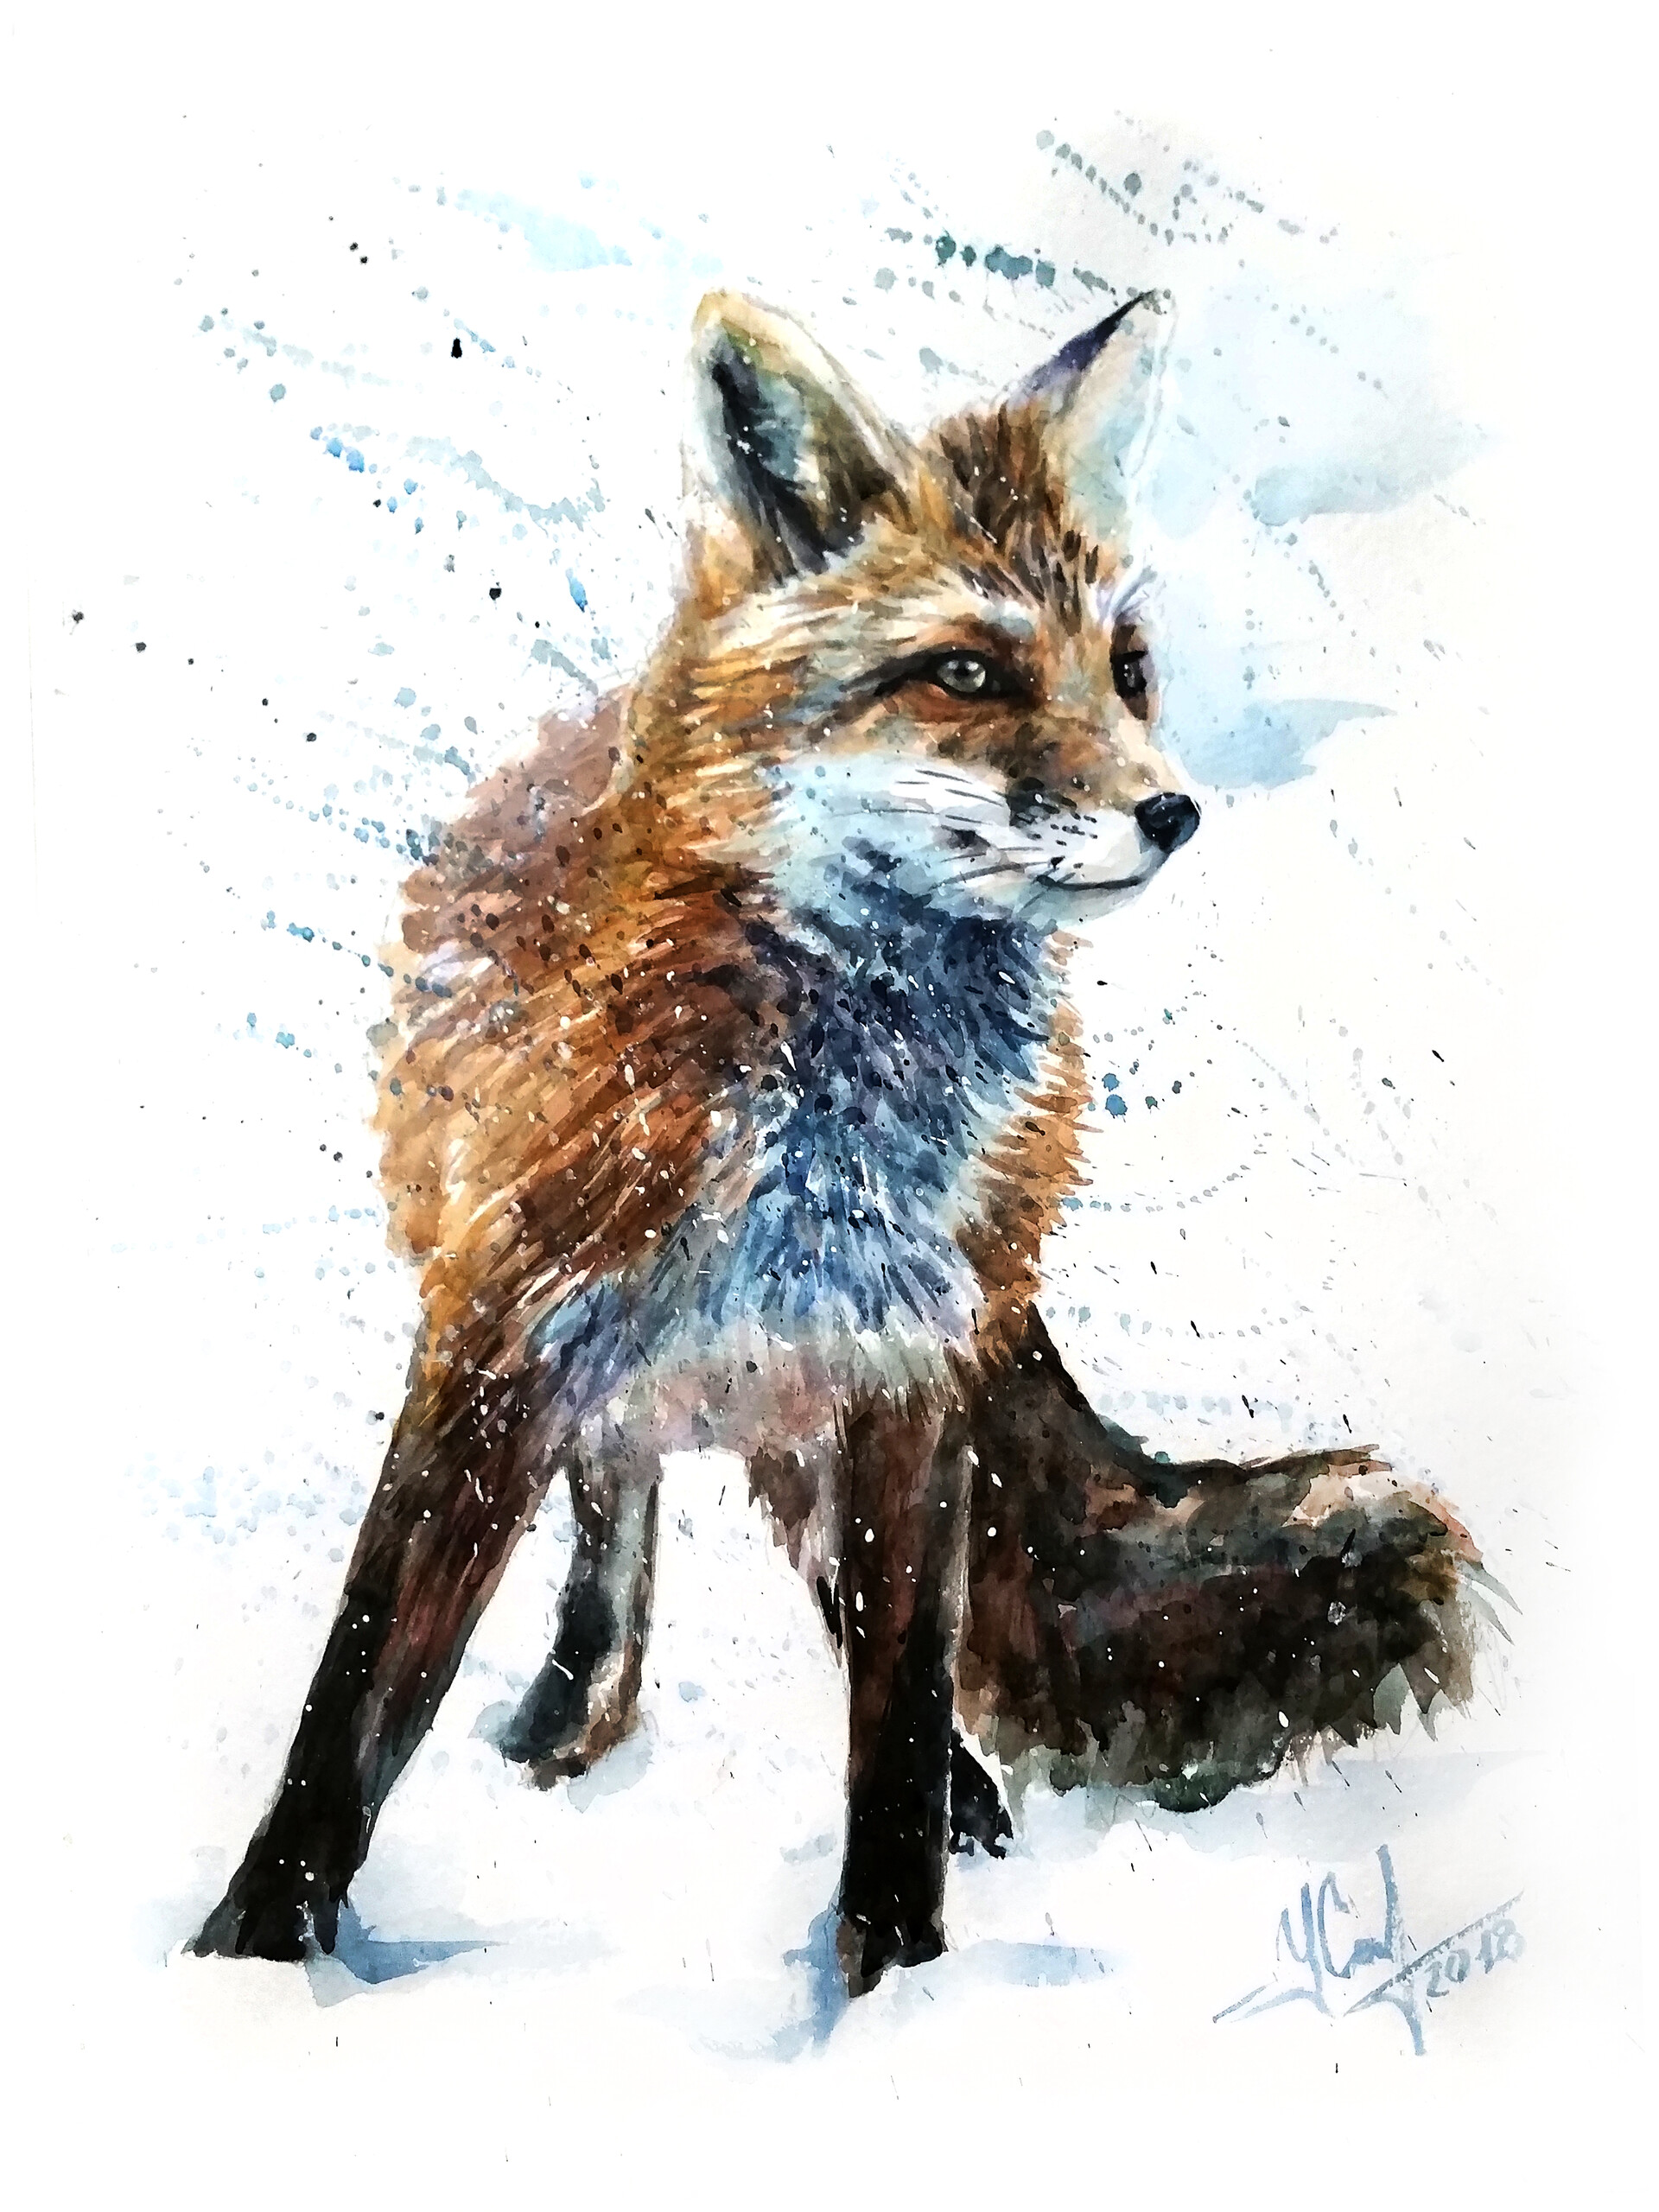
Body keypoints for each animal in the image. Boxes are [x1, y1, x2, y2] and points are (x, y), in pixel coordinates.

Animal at [193, 290, 1482, 1994]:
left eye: (1130, 667)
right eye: (968, 672)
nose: (1174, 811)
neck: (822, 1119)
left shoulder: (904, 1374)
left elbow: (899, 1708)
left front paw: (893, 1972)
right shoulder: (494, 1340)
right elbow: (354, 1695)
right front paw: (260, 1947)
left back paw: (956, 1803)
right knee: (620, 1506)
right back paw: (575, 1715)